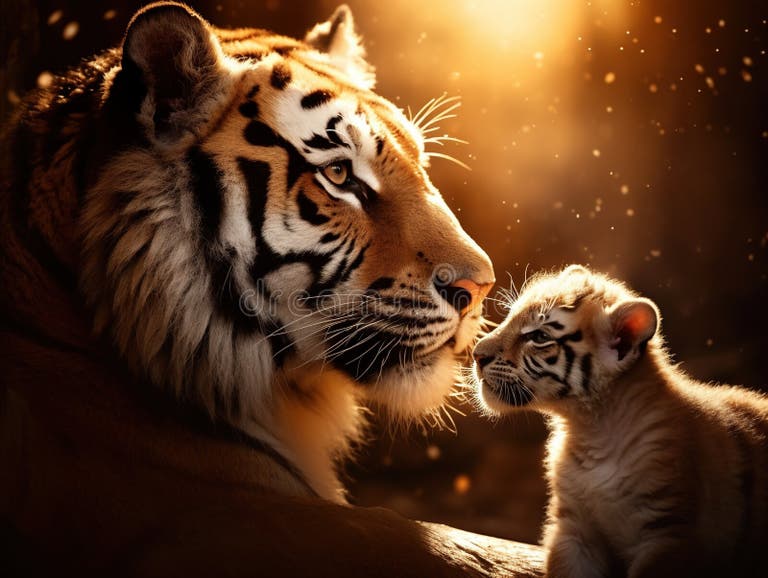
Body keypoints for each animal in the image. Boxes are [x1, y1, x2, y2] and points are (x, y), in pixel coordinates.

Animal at [471, 265, 768, 578]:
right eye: (509, 318)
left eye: (539, 336)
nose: (477, 353)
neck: (591, 427)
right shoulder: (574, 530)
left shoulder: (669, 533)